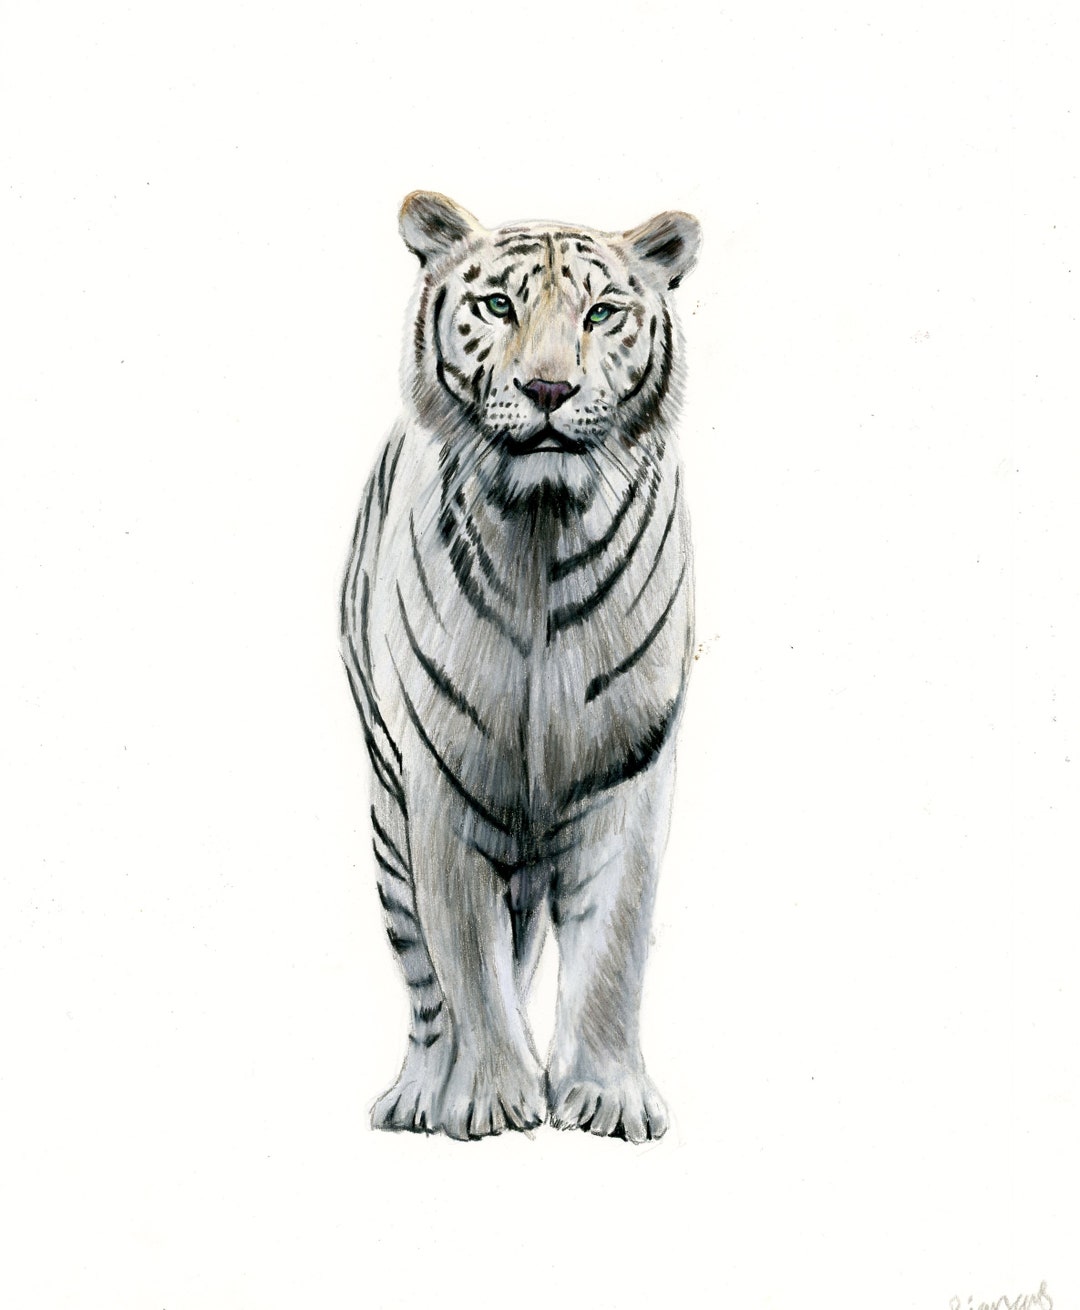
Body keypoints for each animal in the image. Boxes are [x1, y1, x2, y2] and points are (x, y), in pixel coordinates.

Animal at [340, 191, 699, 1141]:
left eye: (601, 313)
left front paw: (609, 1098)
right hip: (386, 804)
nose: (548, 391)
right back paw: (417, 1094)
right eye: (499, 306)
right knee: (424, 980)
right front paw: (494, 1100)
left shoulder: (629, 771)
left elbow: (613, 945)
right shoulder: (441, 779)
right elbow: (466, 957)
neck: (542, 522)